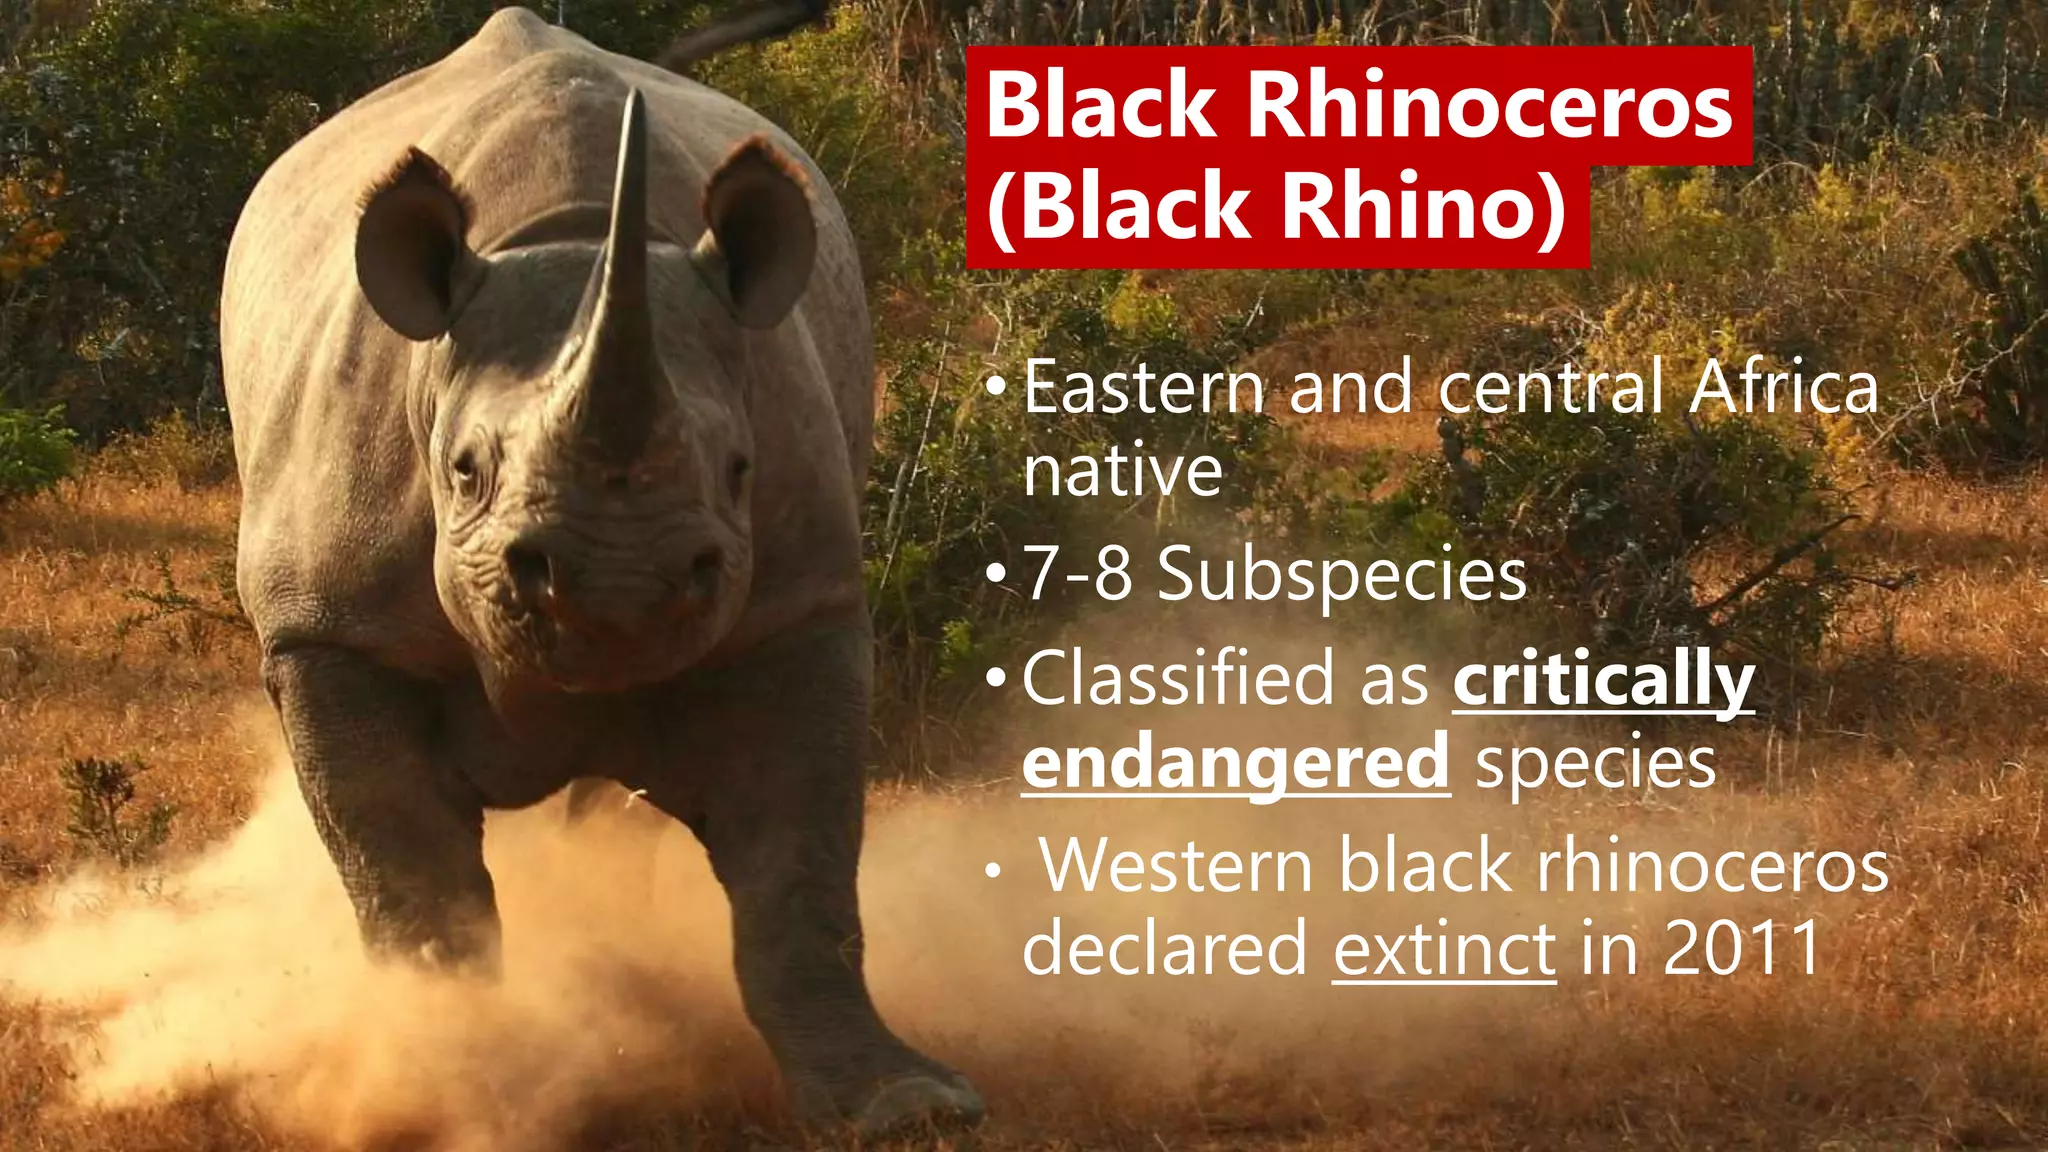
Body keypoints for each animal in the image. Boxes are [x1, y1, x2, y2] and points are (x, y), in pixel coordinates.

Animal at [220, 5, 983, 1135]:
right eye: (464, 472)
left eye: (740, 469)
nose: (620, 590)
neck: (571, 236)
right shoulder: (327, 627)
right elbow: (406, 876)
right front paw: (448, 1086)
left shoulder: (800, 605)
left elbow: (798, 870)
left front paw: (906, 1107)